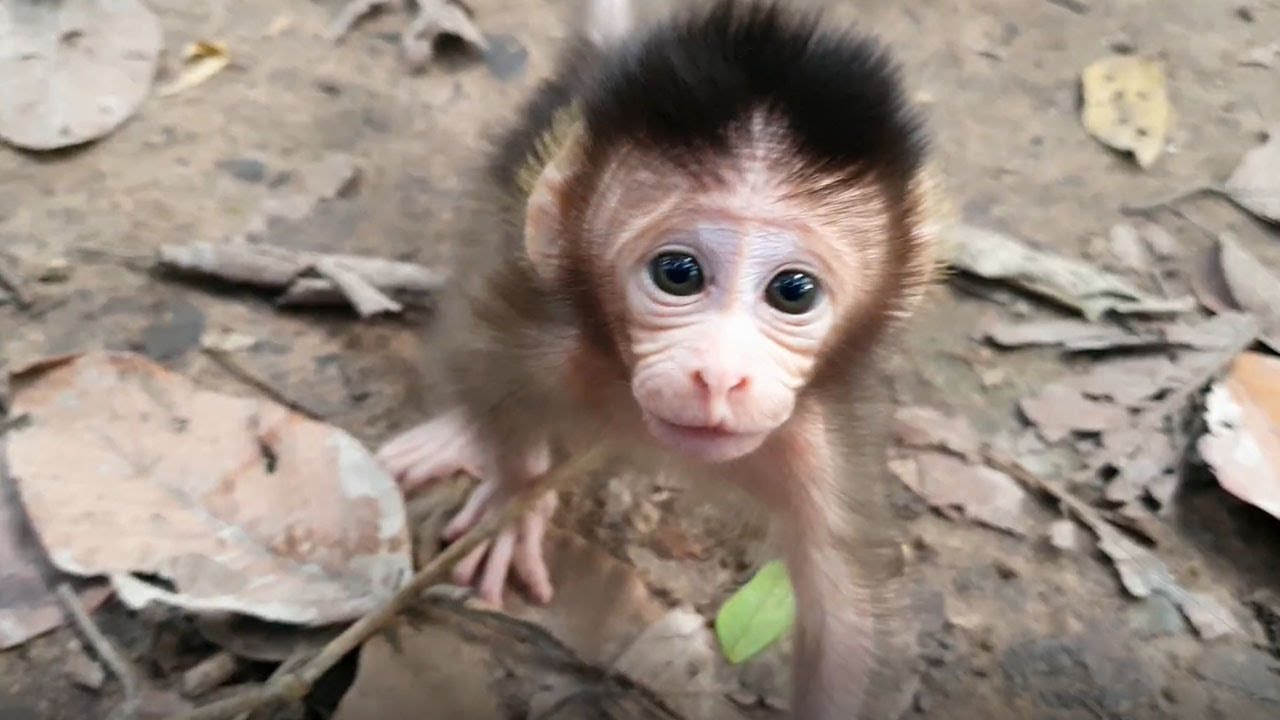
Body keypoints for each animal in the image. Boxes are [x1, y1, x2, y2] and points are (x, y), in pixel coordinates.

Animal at [376, 1, 941, 717]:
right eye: (678, 274)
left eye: (794, 291)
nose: (721, 376)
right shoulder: (544, 334)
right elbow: (479, 361)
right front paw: (520, 499)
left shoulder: (819, 444)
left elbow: (849, 615)